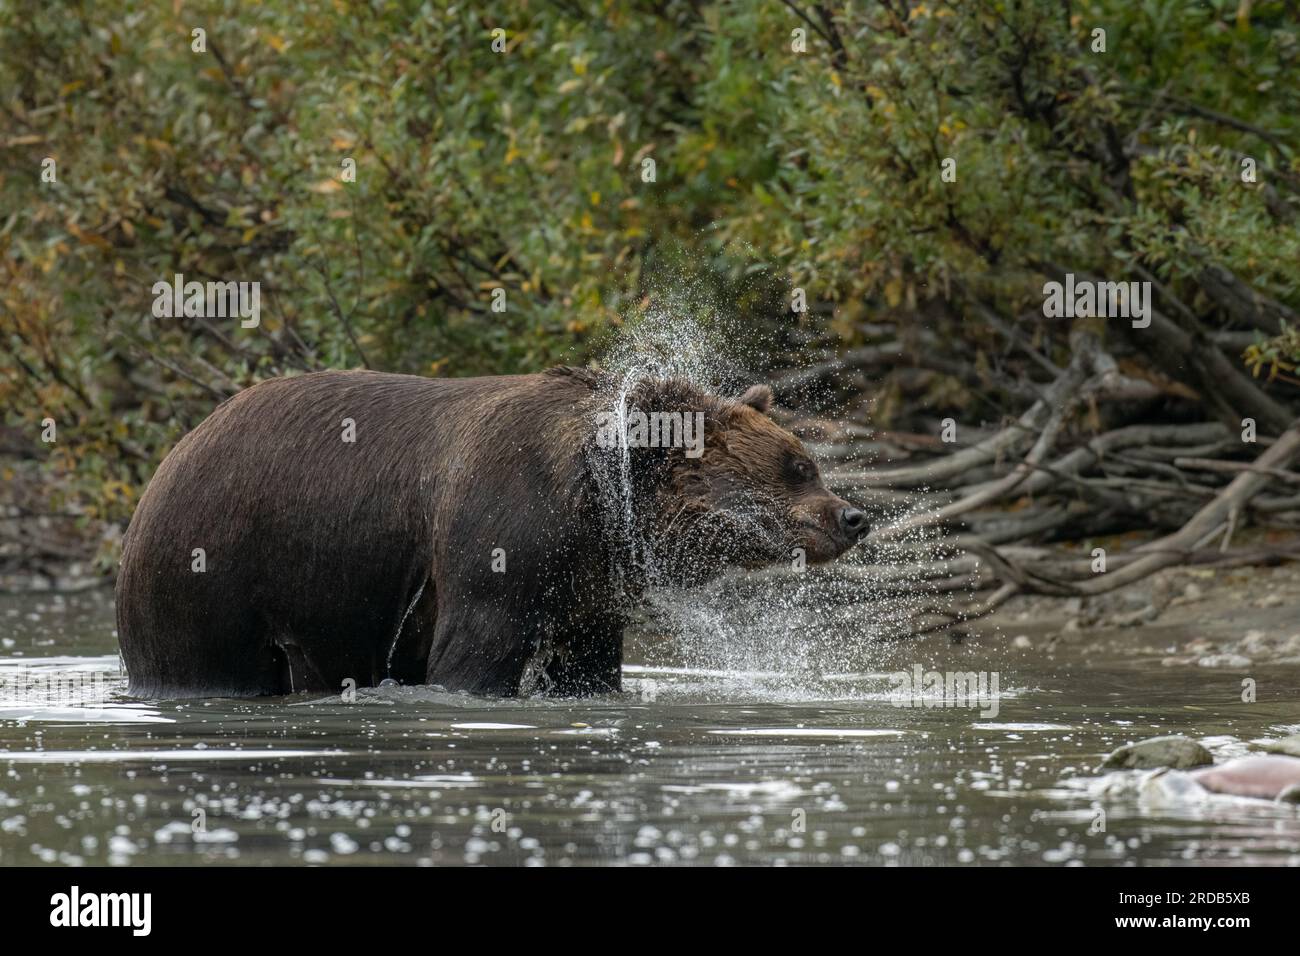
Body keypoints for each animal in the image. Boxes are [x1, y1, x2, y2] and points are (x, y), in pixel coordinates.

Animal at [115, 367, 869, 698]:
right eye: (799, 466)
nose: (854, 517)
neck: (596, 510)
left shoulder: (585, 589)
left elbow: (588, 666)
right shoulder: (500, 535)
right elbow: (472, 657)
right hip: (214, 574)